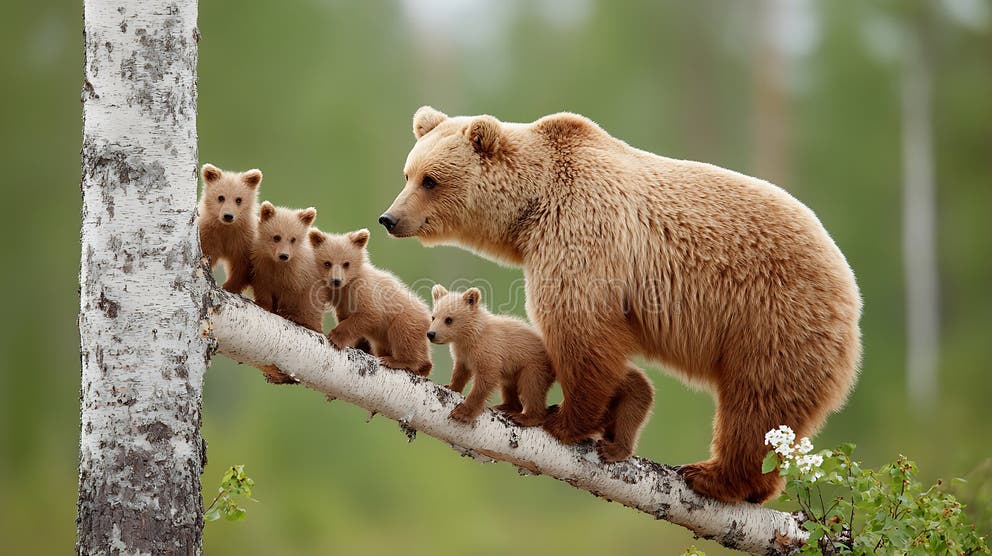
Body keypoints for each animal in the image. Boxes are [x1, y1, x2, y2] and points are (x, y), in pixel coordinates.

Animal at [197, 163, 261, 293]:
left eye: (239, 199)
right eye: (221, 197)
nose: (228, 216)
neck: (226, 229)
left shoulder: (243, 239)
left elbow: (241, 265)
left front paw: (229, 286)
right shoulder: (209, 234)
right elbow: (208, 252)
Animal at [251, 201, 323, 383]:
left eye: (293, 239)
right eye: (276, 237)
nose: (283, 255)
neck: (278, 267)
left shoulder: (297, 277)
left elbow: (292, 294)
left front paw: (286, 313)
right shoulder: (261, 270)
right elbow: (263, 289)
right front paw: (264, 304)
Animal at [308, 228, 432, 376]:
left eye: (346, 263)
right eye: (327, 263)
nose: (336, 281)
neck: (345, 287)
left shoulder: (365, 291)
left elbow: (369, 315)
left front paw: (335, 337)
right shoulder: (341, 300)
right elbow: (345, 317)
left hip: (408, 320)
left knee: (403, 336)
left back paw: (395, 361)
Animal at [428, 284, 555, 426]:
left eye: (449, 319)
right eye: (433, 317)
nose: (431, 334)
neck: (470, 337)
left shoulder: (488, 350)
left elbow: (485, 379)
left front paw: (461, 412)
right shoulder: (463, 354)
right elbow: (460, 372)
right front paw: (451, 386)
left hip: (534, 365)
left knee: (532, 387)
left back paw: (524, 417)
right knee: (509, 386)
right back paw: (505, 407)